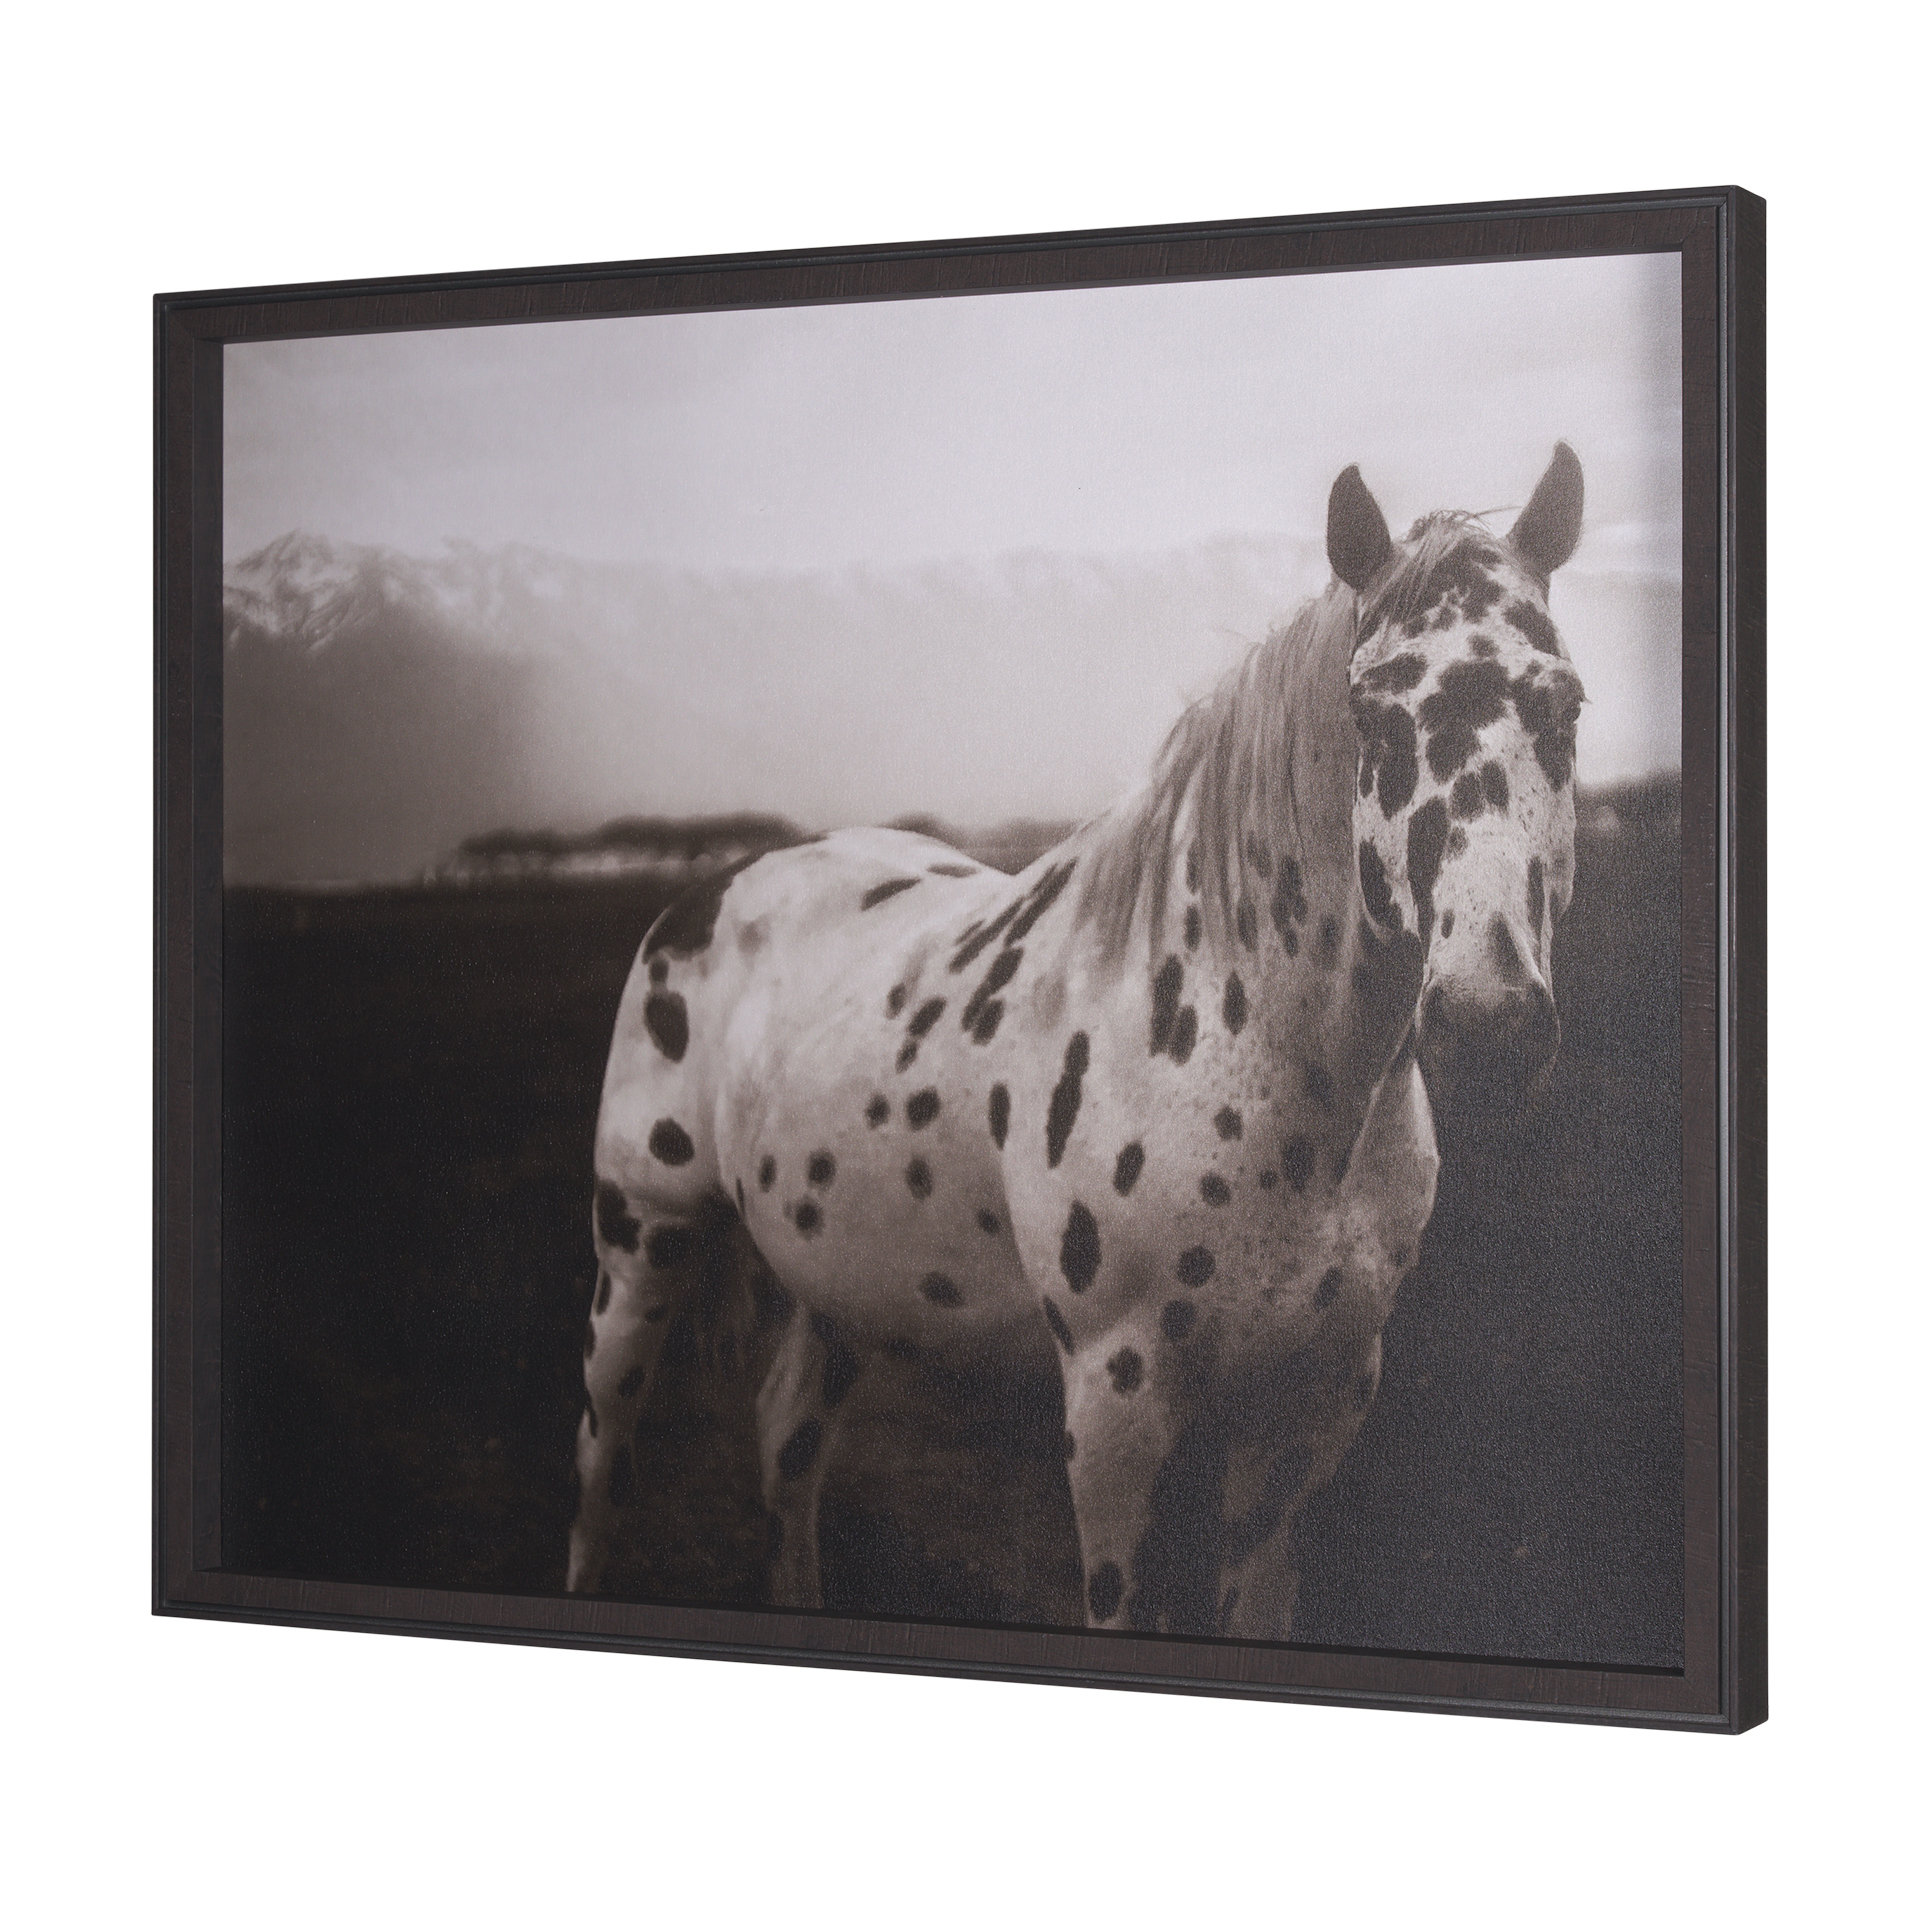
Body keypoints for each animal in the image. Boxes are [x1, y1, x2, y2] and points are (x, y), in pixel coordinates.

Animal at [567, 445, 1587, 1637]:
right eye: (1374, 717)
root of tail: (709, 894)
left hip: (840, 1284)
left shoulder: (1308, 1411)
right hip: (642, 1245)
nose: (1488, 1023)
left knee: (787, 1451)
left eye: (1564, 710)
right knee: (601, 1459)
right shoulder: (1116, 1407)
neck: (1247, 1046)